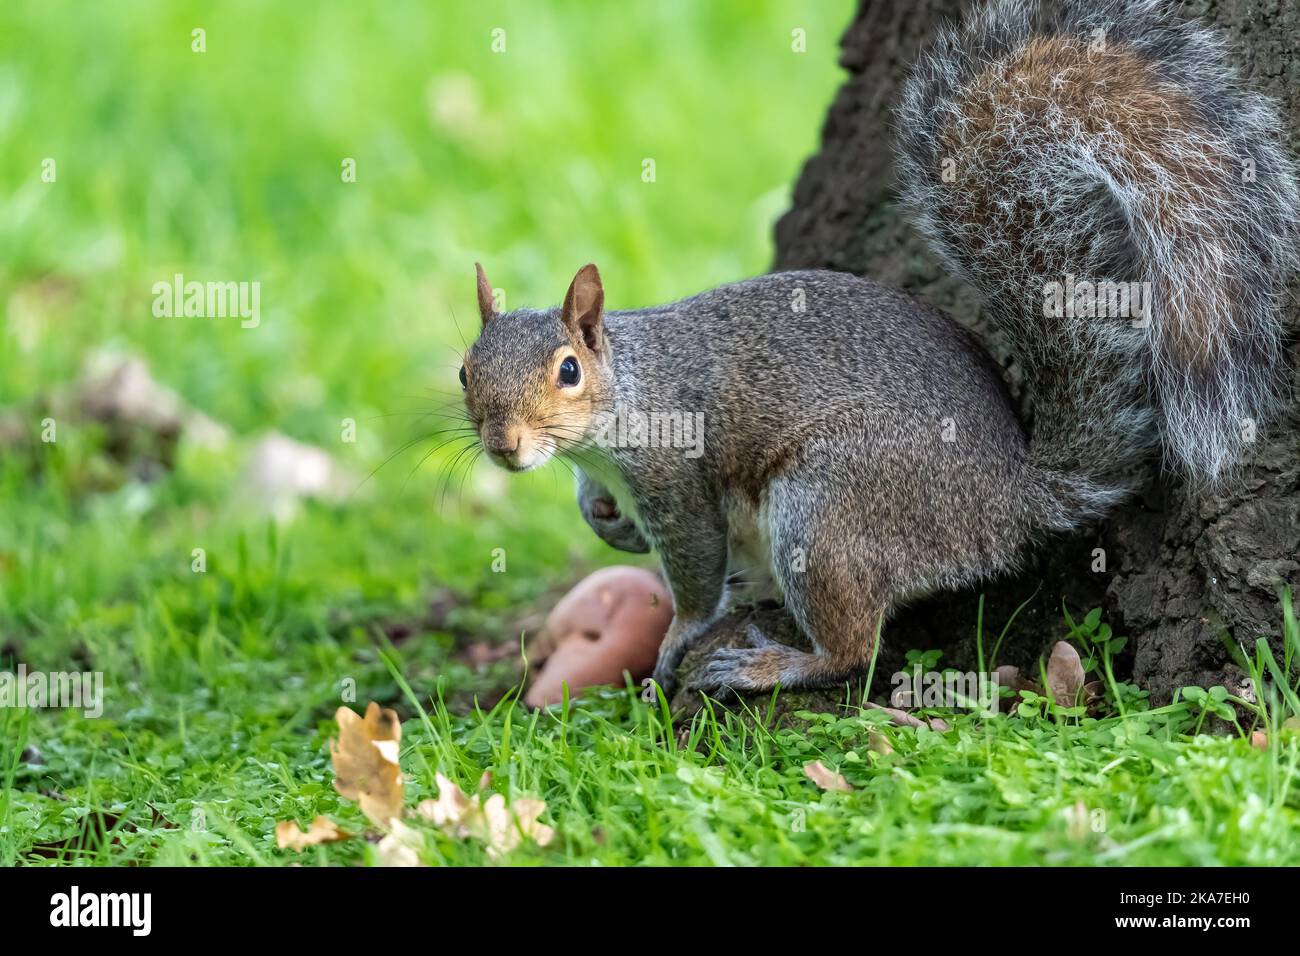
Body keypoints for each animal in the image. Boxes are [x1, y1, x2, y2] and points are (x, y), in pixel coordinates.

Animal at [459, 0, 1299, 697]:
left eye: (569, 371)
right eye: (465, 370)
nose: (504, 446)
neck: (623, 398)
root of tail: (1007, 497)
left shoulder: (679, 476)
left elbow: (696, 573)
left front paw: (677, 639)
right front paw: (605, 518)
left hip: (829, 503)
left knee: (855, 650)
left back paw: (774, 665)